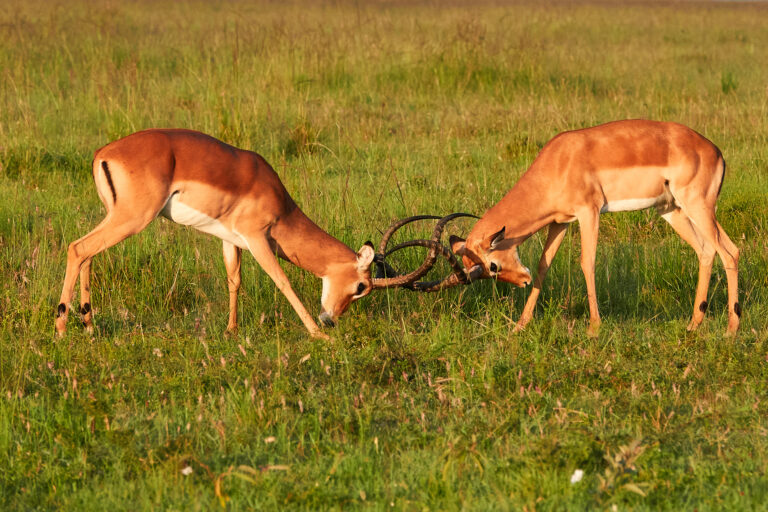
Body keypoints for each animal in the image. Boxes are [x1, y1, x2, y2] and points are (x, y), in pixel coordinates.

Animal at [54, 129, 453, 339]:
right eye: (361, 287)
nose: (331, 319)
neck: (276, 198)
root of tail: (104, 152)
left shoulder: (231, 240)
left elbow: (234, 279)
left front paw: (231, 330)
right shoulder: (259, 238)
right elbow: (282, 280)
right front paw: (317, 335)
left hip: (117, 217)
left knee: (88, 253)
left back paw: (87, 325)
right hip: (133, 218)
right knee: (78, 248)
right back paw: (60, 328)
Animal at [414, 120, 740, 336]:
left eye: (492, 266)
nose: (521, 281)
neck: (558, 162)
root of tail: (715, 151)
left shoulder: (589, 212)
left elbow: (587, 262)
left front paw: (594, 328)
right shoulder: (560, 222)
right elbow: (543, 266)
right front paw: (520, 325)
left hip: (698, 206)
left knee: (730, 252)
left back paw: (730, 330)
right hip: (672, 210)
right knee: (707, 251)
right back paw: (693, 325)